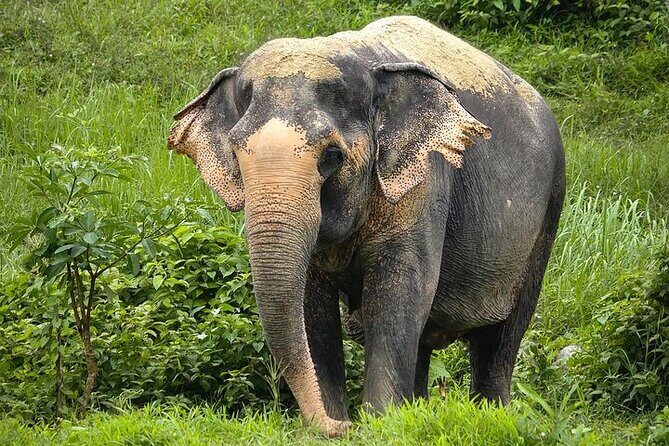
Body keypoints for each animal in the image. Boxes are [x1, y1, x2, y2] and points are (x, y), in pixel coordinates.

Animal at [167, 16, 565, 437]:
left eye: (331, 156)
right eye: (236, 153)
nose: (342, 426)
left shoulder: (426, 181)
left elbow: (398, 295)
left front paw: (377, 424)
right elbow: (313, 309)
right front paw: (344, 422)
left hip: (548, 213)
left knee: (500, 340)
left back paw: (492, 415)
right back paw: (417, 411)